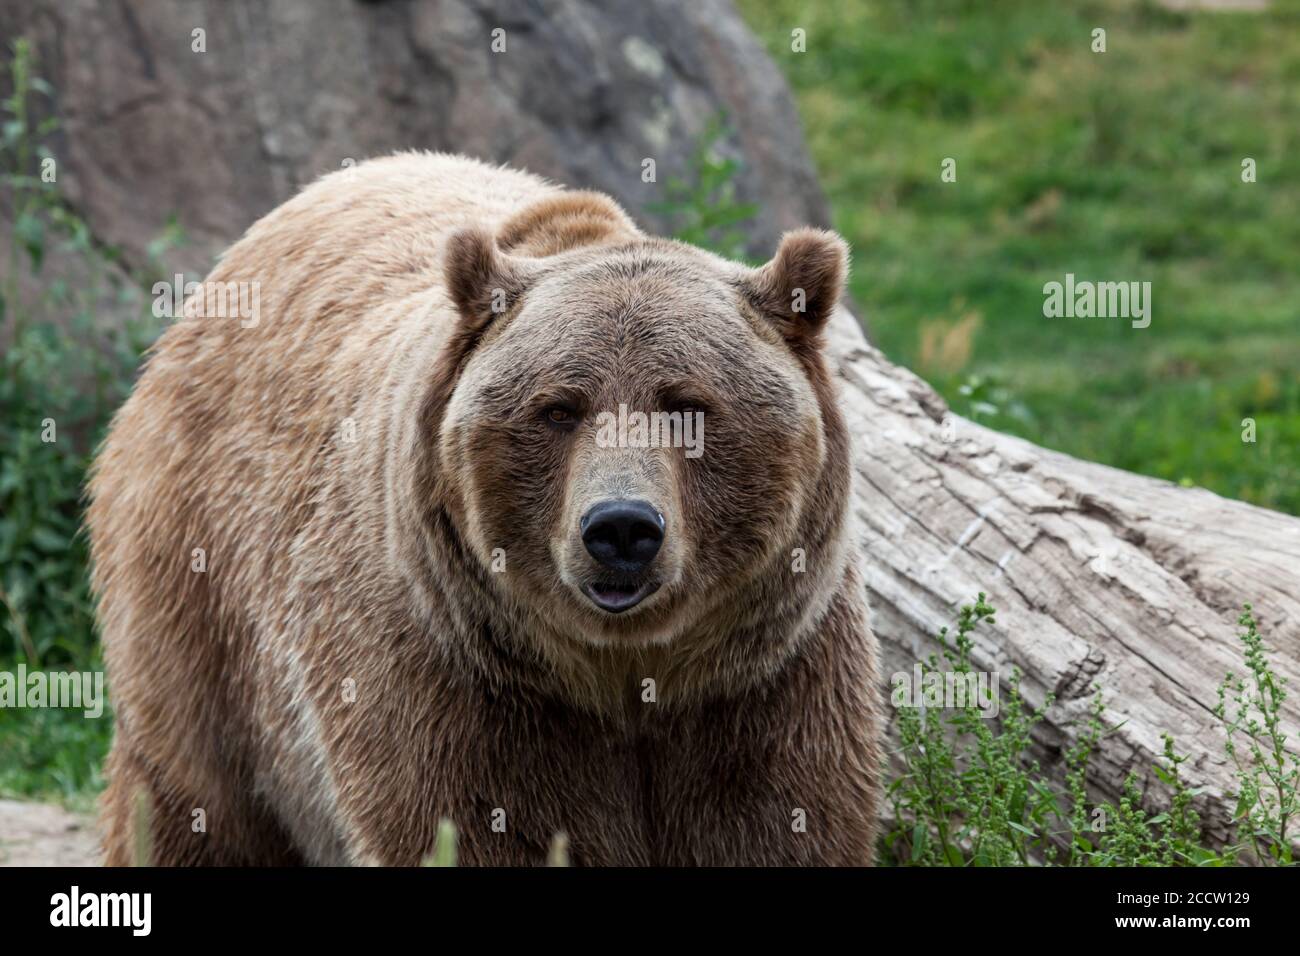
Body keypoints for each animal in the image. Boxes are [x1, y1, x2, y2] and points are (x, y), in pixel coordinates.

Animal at [87, 152, 881, 866]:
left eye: (689, 406)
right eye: (559, 408)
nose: (622, 528)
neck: (623, 677)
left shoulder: (763, 683)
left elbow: (780, 827)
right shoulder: (458, 678)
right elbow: (474, 828)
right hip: (200, 598)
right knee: (193, 805)